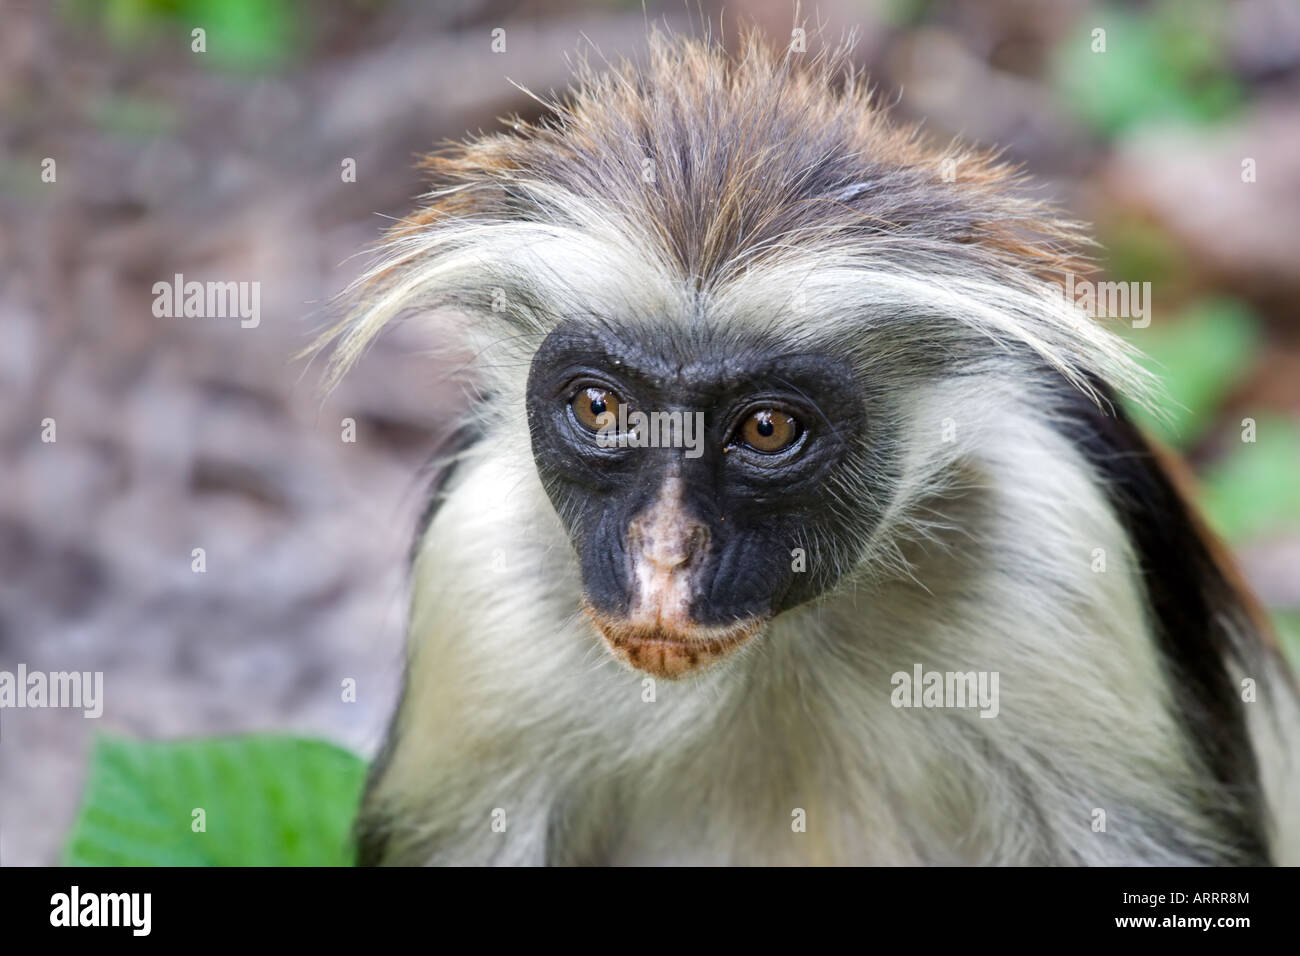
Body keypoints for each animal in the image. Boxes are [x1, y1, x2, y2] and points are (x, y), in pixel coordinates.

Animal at [319, 32, 1299, 865]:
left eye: (767, 428)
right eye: (601, 408)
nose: (662, 561)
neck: (777, 642)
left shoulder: (1058, 532)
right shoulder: (481, 575)